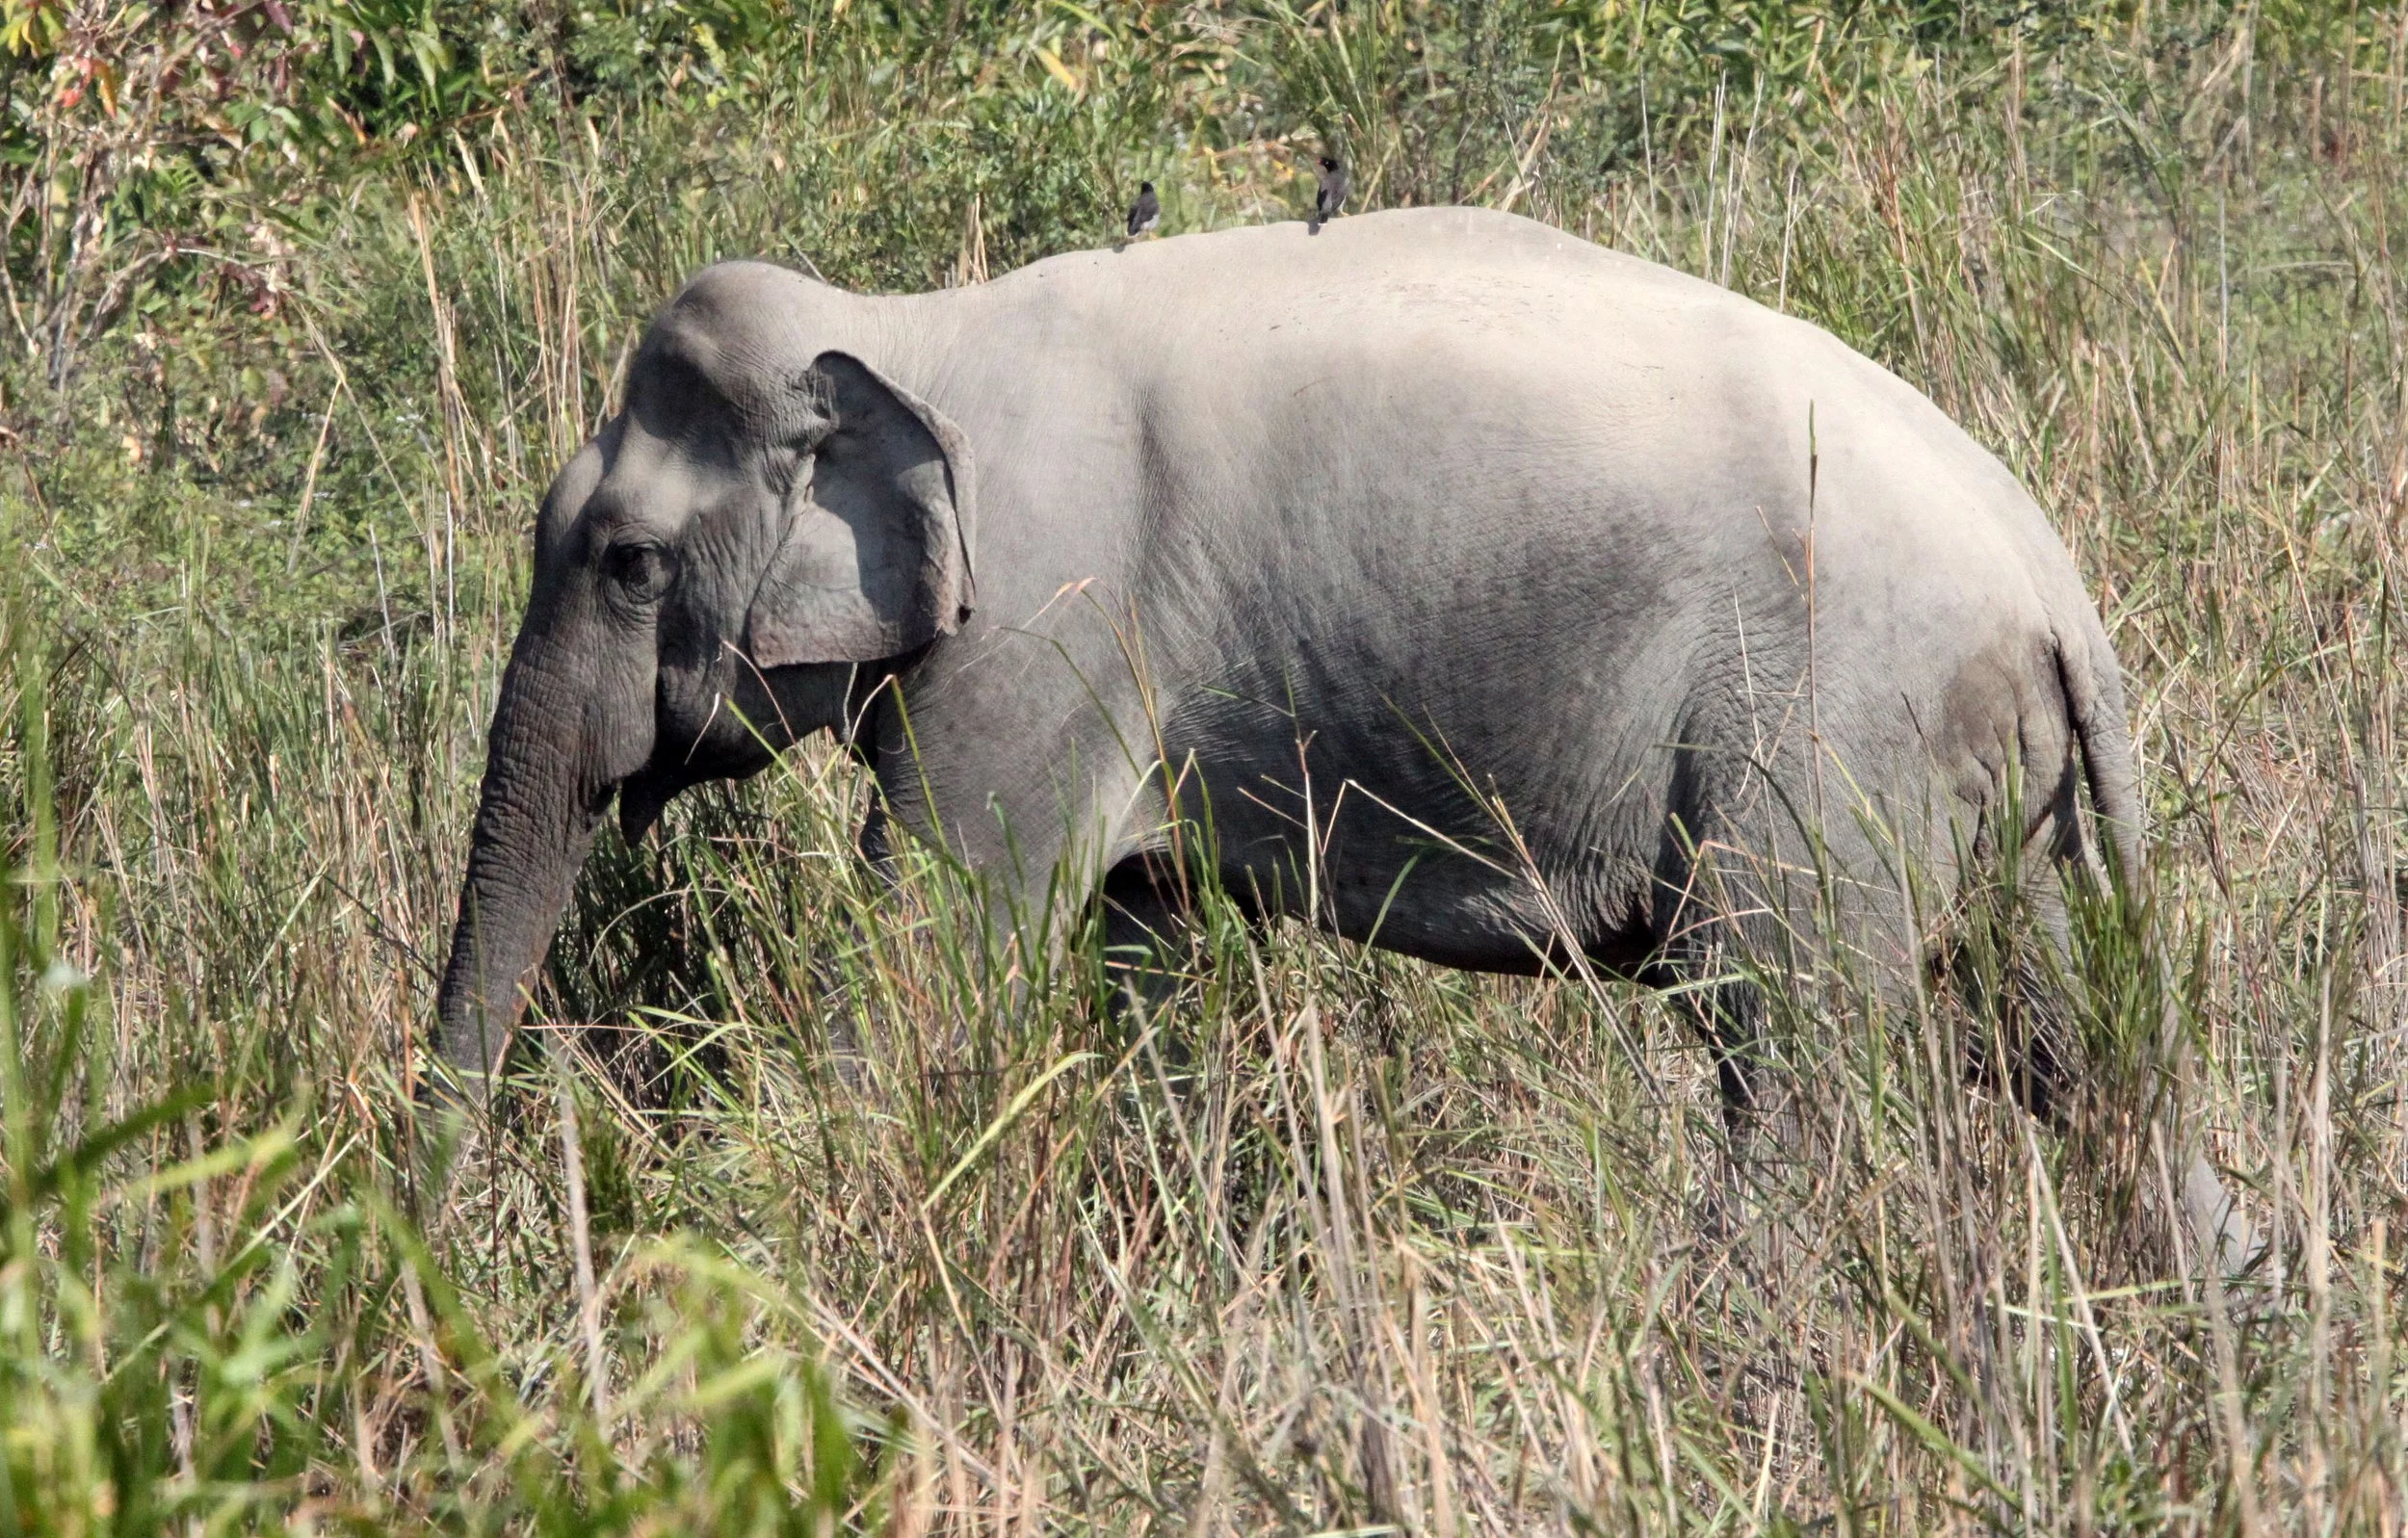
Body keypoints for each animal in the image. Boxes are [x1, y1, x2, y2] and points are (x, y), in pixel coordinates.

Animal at [432, 206, 2233, 1248]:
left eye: (627, 562)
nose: (434, 1233)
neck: (913, 323)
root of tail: (2056, 585)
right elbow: (1142, 956)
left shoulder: (1043, 631)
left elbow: (927, 963)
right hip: (1987, 796)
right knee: (2080, 1055)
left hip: (1827, 752)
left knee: (1781, 1059)